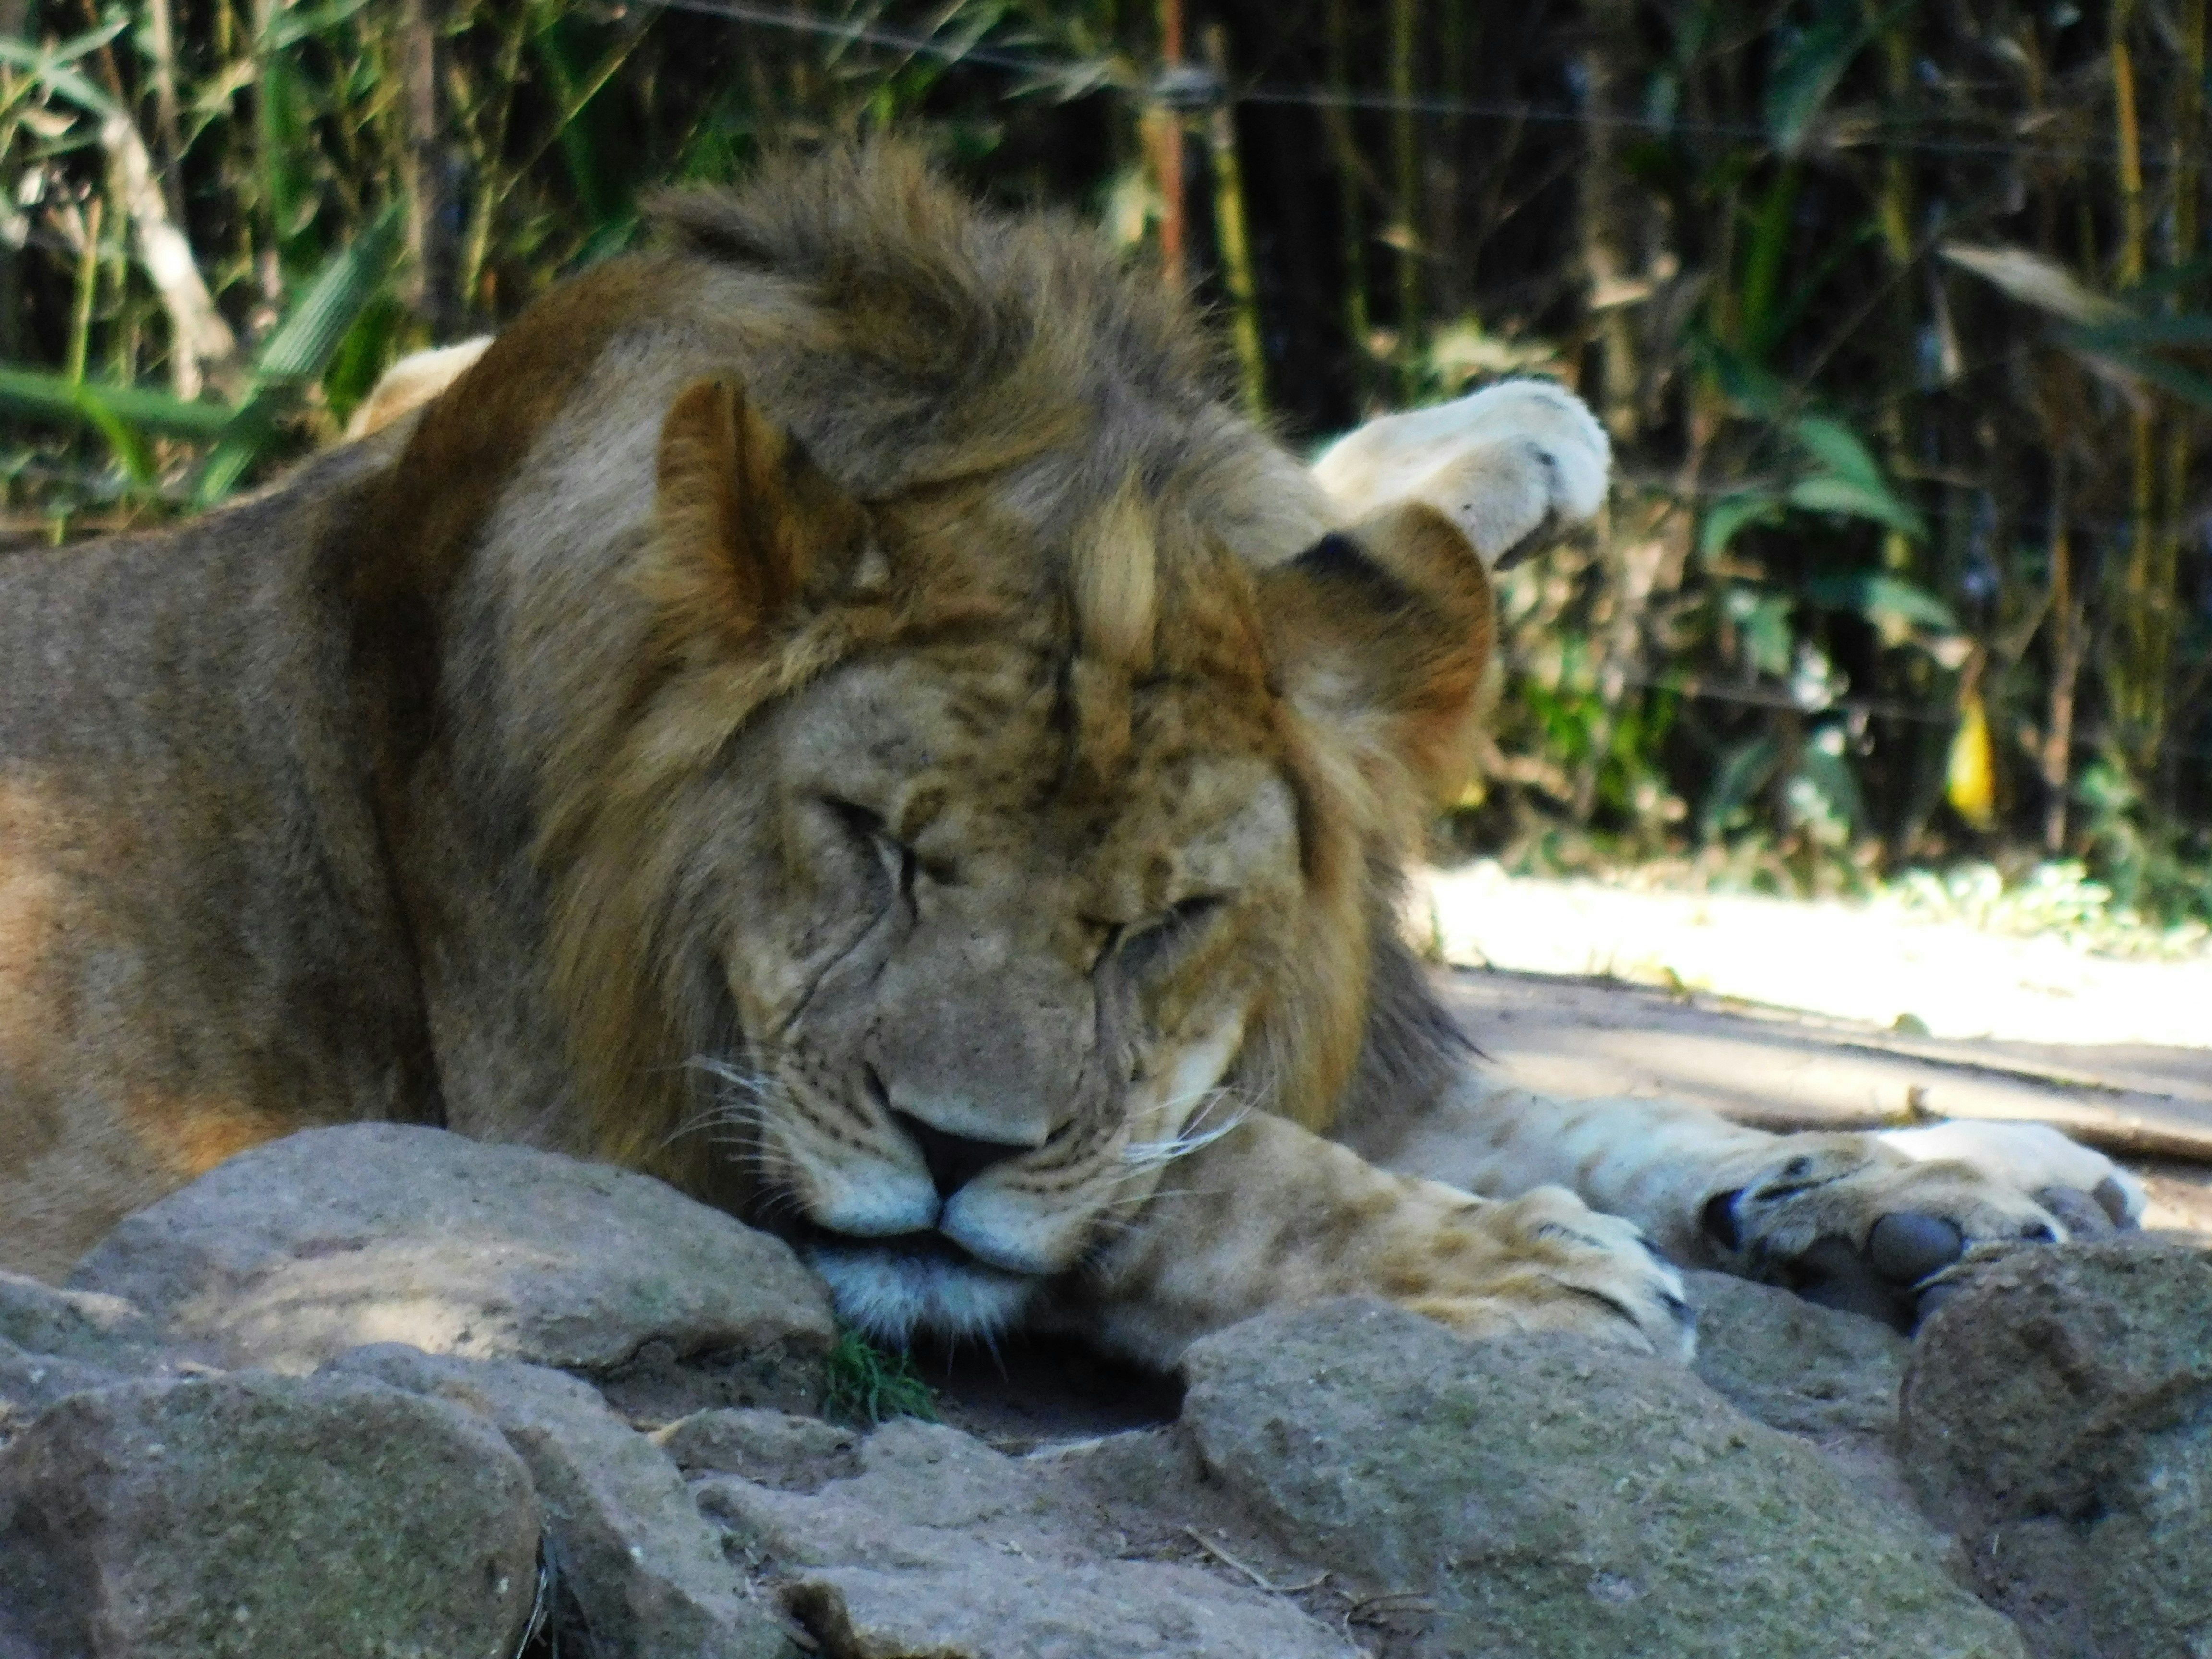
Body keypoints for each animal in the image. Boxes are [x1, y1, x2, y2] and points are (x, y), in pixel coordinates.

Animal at [0, 145, 2139, 1365]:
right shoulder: (573, 1131)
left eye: (1162, 921)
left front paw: (1919, 1181)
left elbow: (1600, 1113)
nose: (952, 1157)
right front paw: (1515, 1270)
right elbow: (1197, 1184)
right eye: (872, 842)